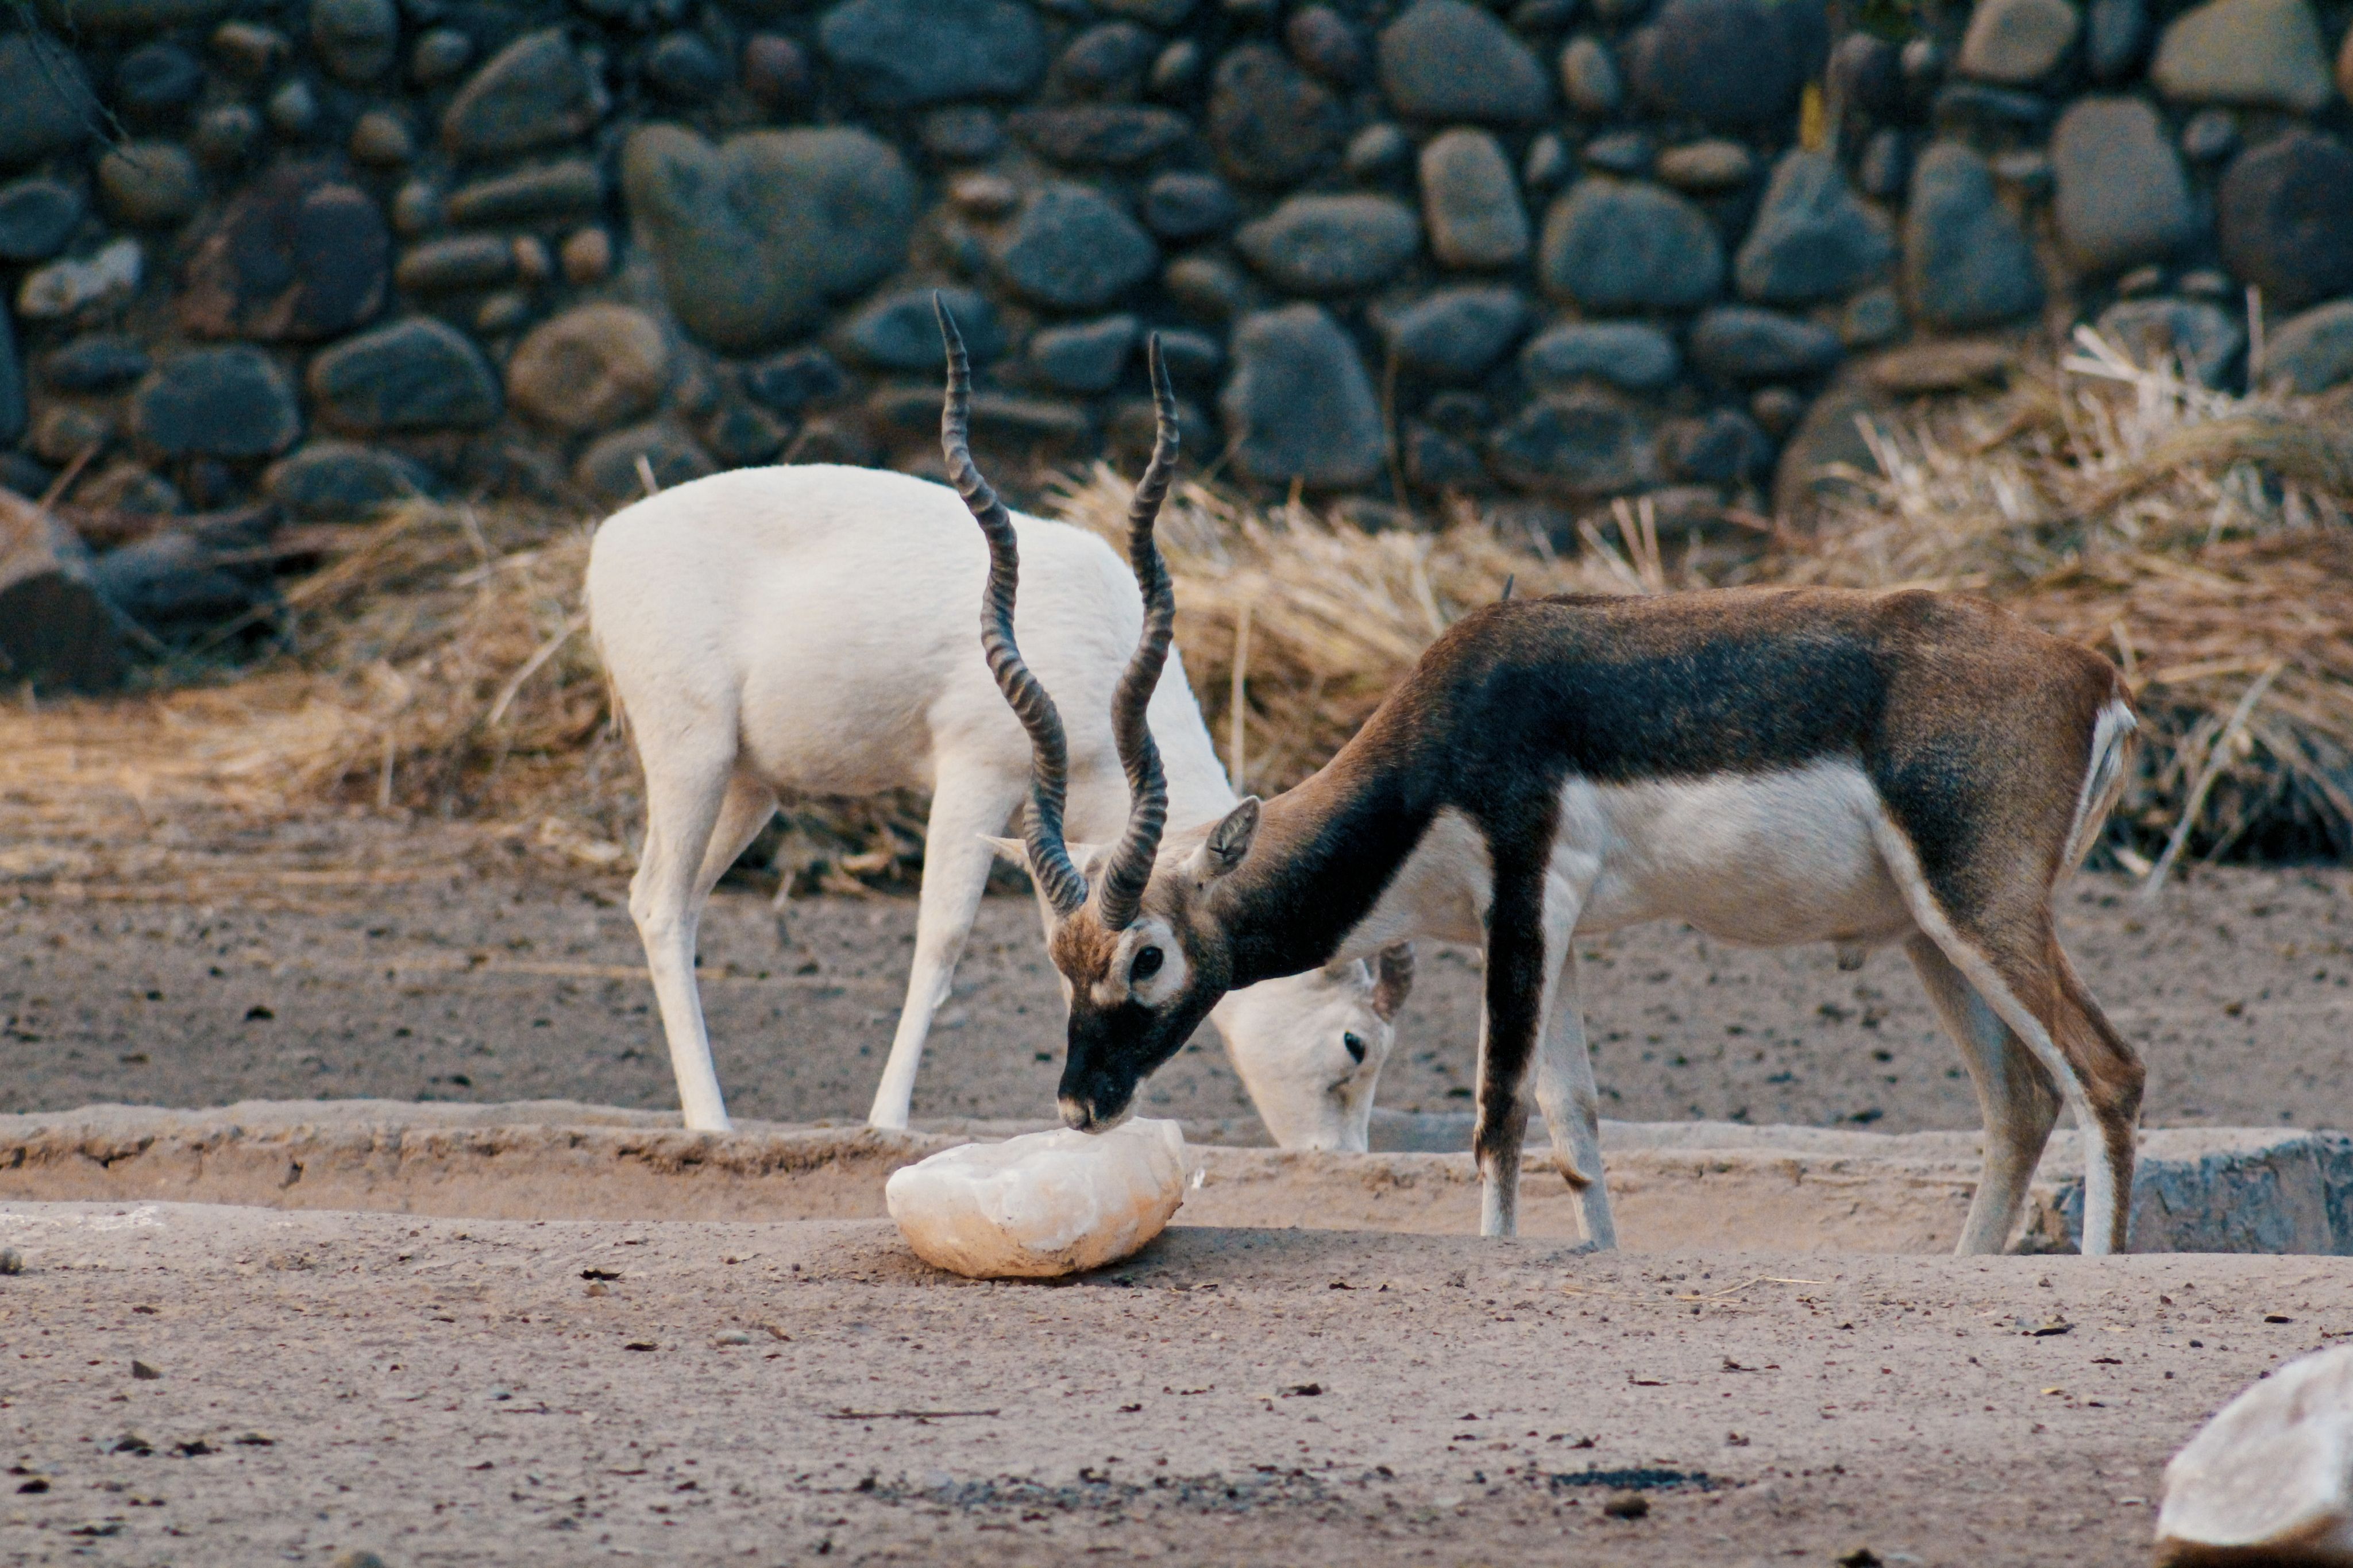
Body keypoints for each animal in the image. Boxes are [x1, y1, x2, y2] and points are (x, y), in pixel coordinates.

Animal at [583, 451, 1412, 1148]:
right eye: (1355, 1046)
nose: (1338, 1158)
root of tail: (608, 544)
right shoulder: (977, 769)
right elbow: (942, 939)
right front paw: (887, 1124)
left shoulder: (1056, 836)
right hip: (692, 754)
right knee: (661, 904)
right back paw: (712, 1123)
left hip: (750, 785)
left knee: (672, 901)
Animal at [943, 304, 2145, 1255]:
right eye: (1058, 957)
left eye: (1146, 955)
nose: (1081, 1105)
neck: (1445, 735)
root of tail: (2088, 673)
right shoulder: (1556, 934)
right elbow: (1576, 1125)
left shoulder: (1522, 905)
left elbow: (1497, 1119)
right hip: (1927, 932)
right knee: (2022, 1102)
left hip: (1980, 909)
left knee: (2108, 1078)